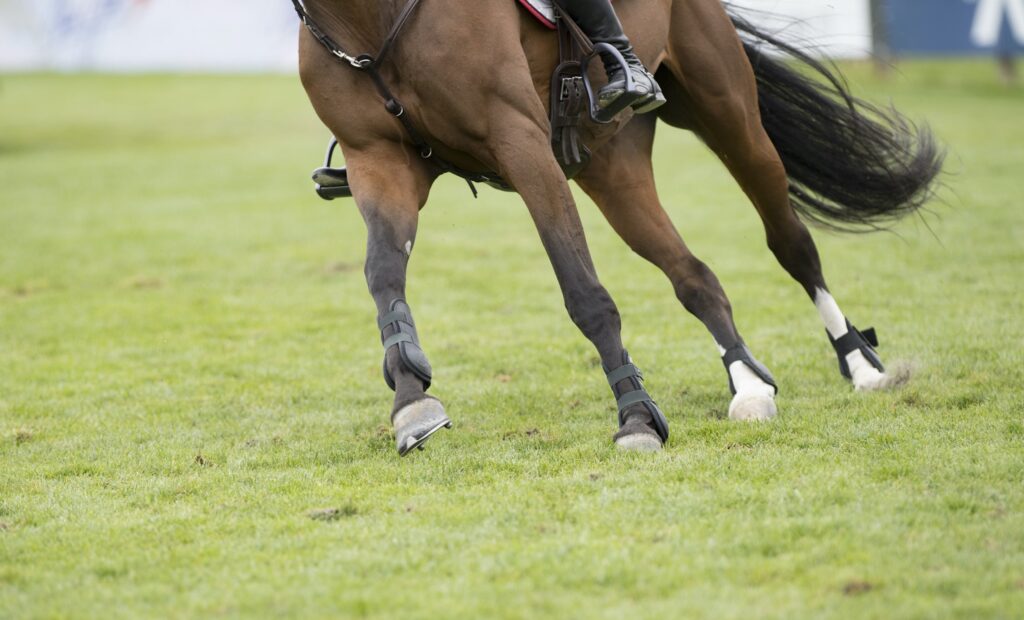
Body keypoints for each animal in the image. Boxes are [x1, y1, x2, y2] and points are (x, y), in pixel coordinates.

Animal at [293, 0, 943, 454]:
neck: (372, 16)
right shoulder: (378, 161)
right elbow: (383, 276)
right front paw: (411, 400)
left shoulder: (521, 143)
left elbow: (585, 295)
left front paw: (636, 418)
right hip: (612, 169)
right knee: (694, 275)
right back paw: (749, 383)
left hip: (728, 113)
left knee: (792, 244)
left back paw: (860, 364)